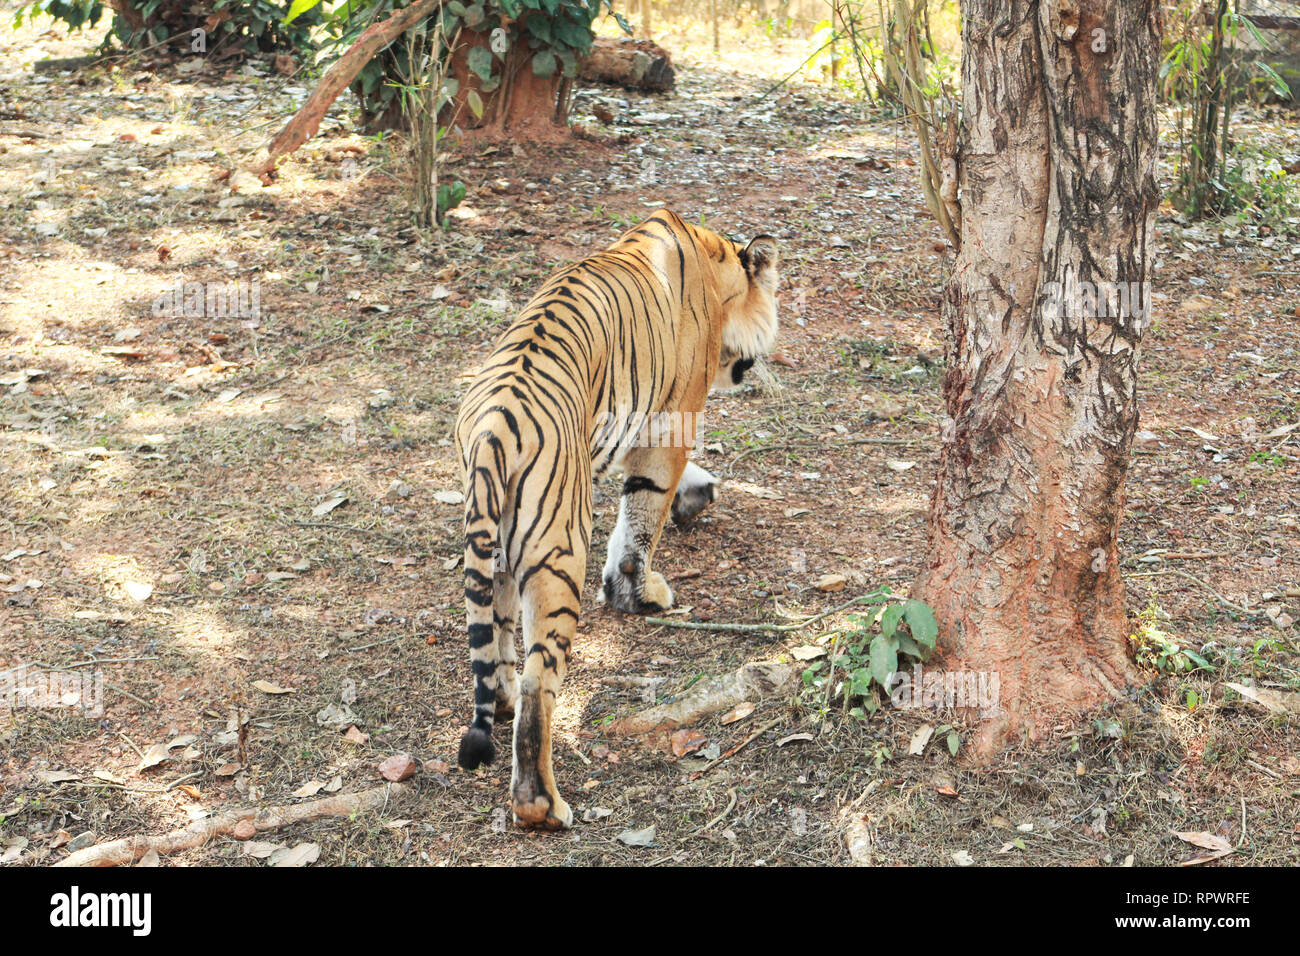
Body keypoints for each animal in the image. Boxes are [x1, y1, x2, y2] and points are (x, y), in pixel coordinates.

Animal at [453, 209, 779, 829]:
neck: (713, 259)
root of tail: (495, 428)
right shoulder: (672, 416)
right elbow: (643, 511)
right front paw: (639, 592)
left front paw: (697, 495)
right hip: (558, 551)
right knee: (538, 682)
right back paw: (545, 807)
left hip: (494, 547)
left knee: (495, 642)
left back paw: (499, 700)